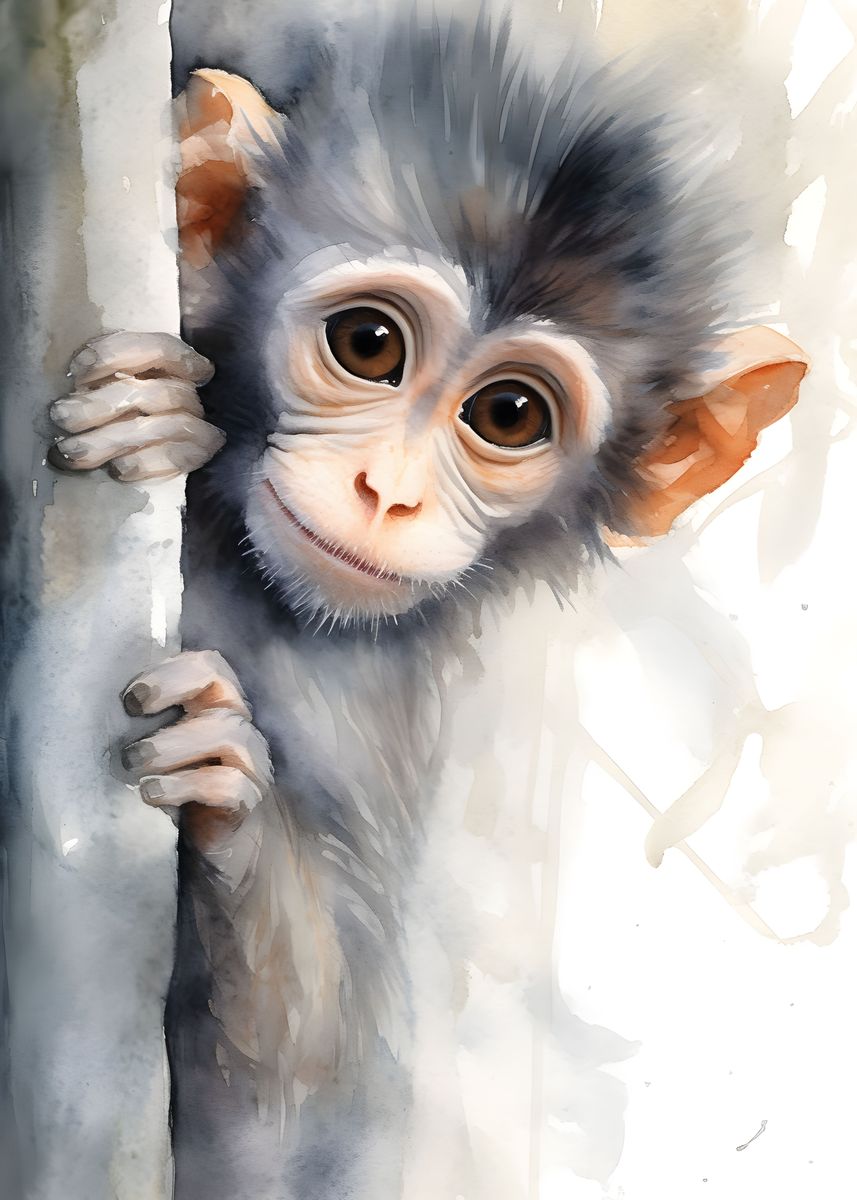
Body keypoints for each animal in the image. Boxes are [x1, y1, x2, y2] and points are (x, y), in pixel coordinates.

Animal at [48, 5, 807, 1198]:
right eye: (368, 346)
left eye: (507, 414)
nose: (388, 492)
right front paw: (153, 416)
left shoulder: (367, 690)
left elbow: (286, 1113)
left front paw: (231, 802)